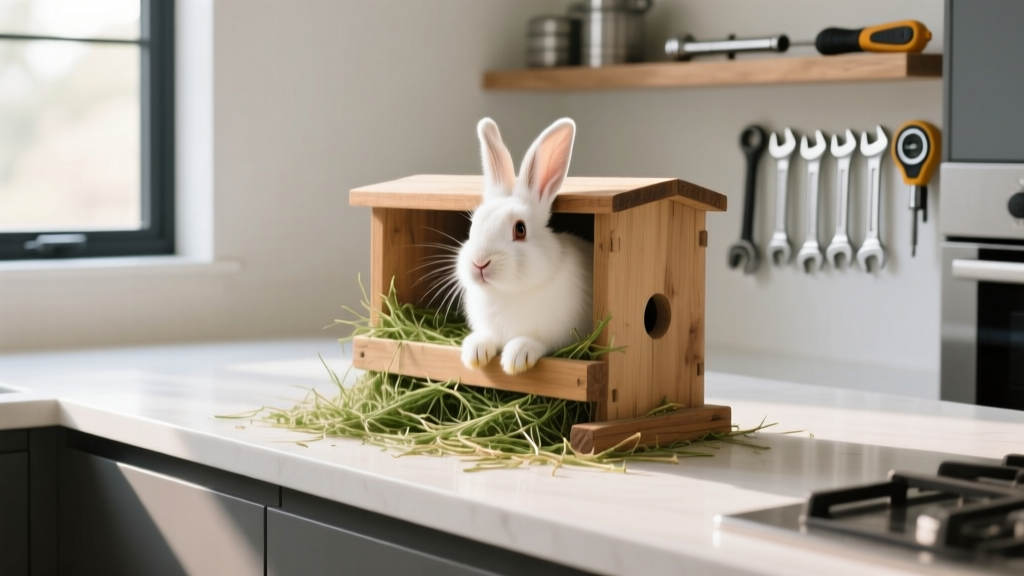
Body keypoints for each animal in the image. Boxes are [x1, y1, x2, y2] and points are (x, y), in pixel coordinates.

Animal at [458, 117, 594, 375]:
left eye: (520, 229)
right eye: (472, 226)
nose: (480, 262)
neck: (506, 292)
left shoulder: (556, 333)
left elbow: (536, 341)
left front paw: (517, 357)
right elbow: (485, 337)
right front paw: (474, 352)